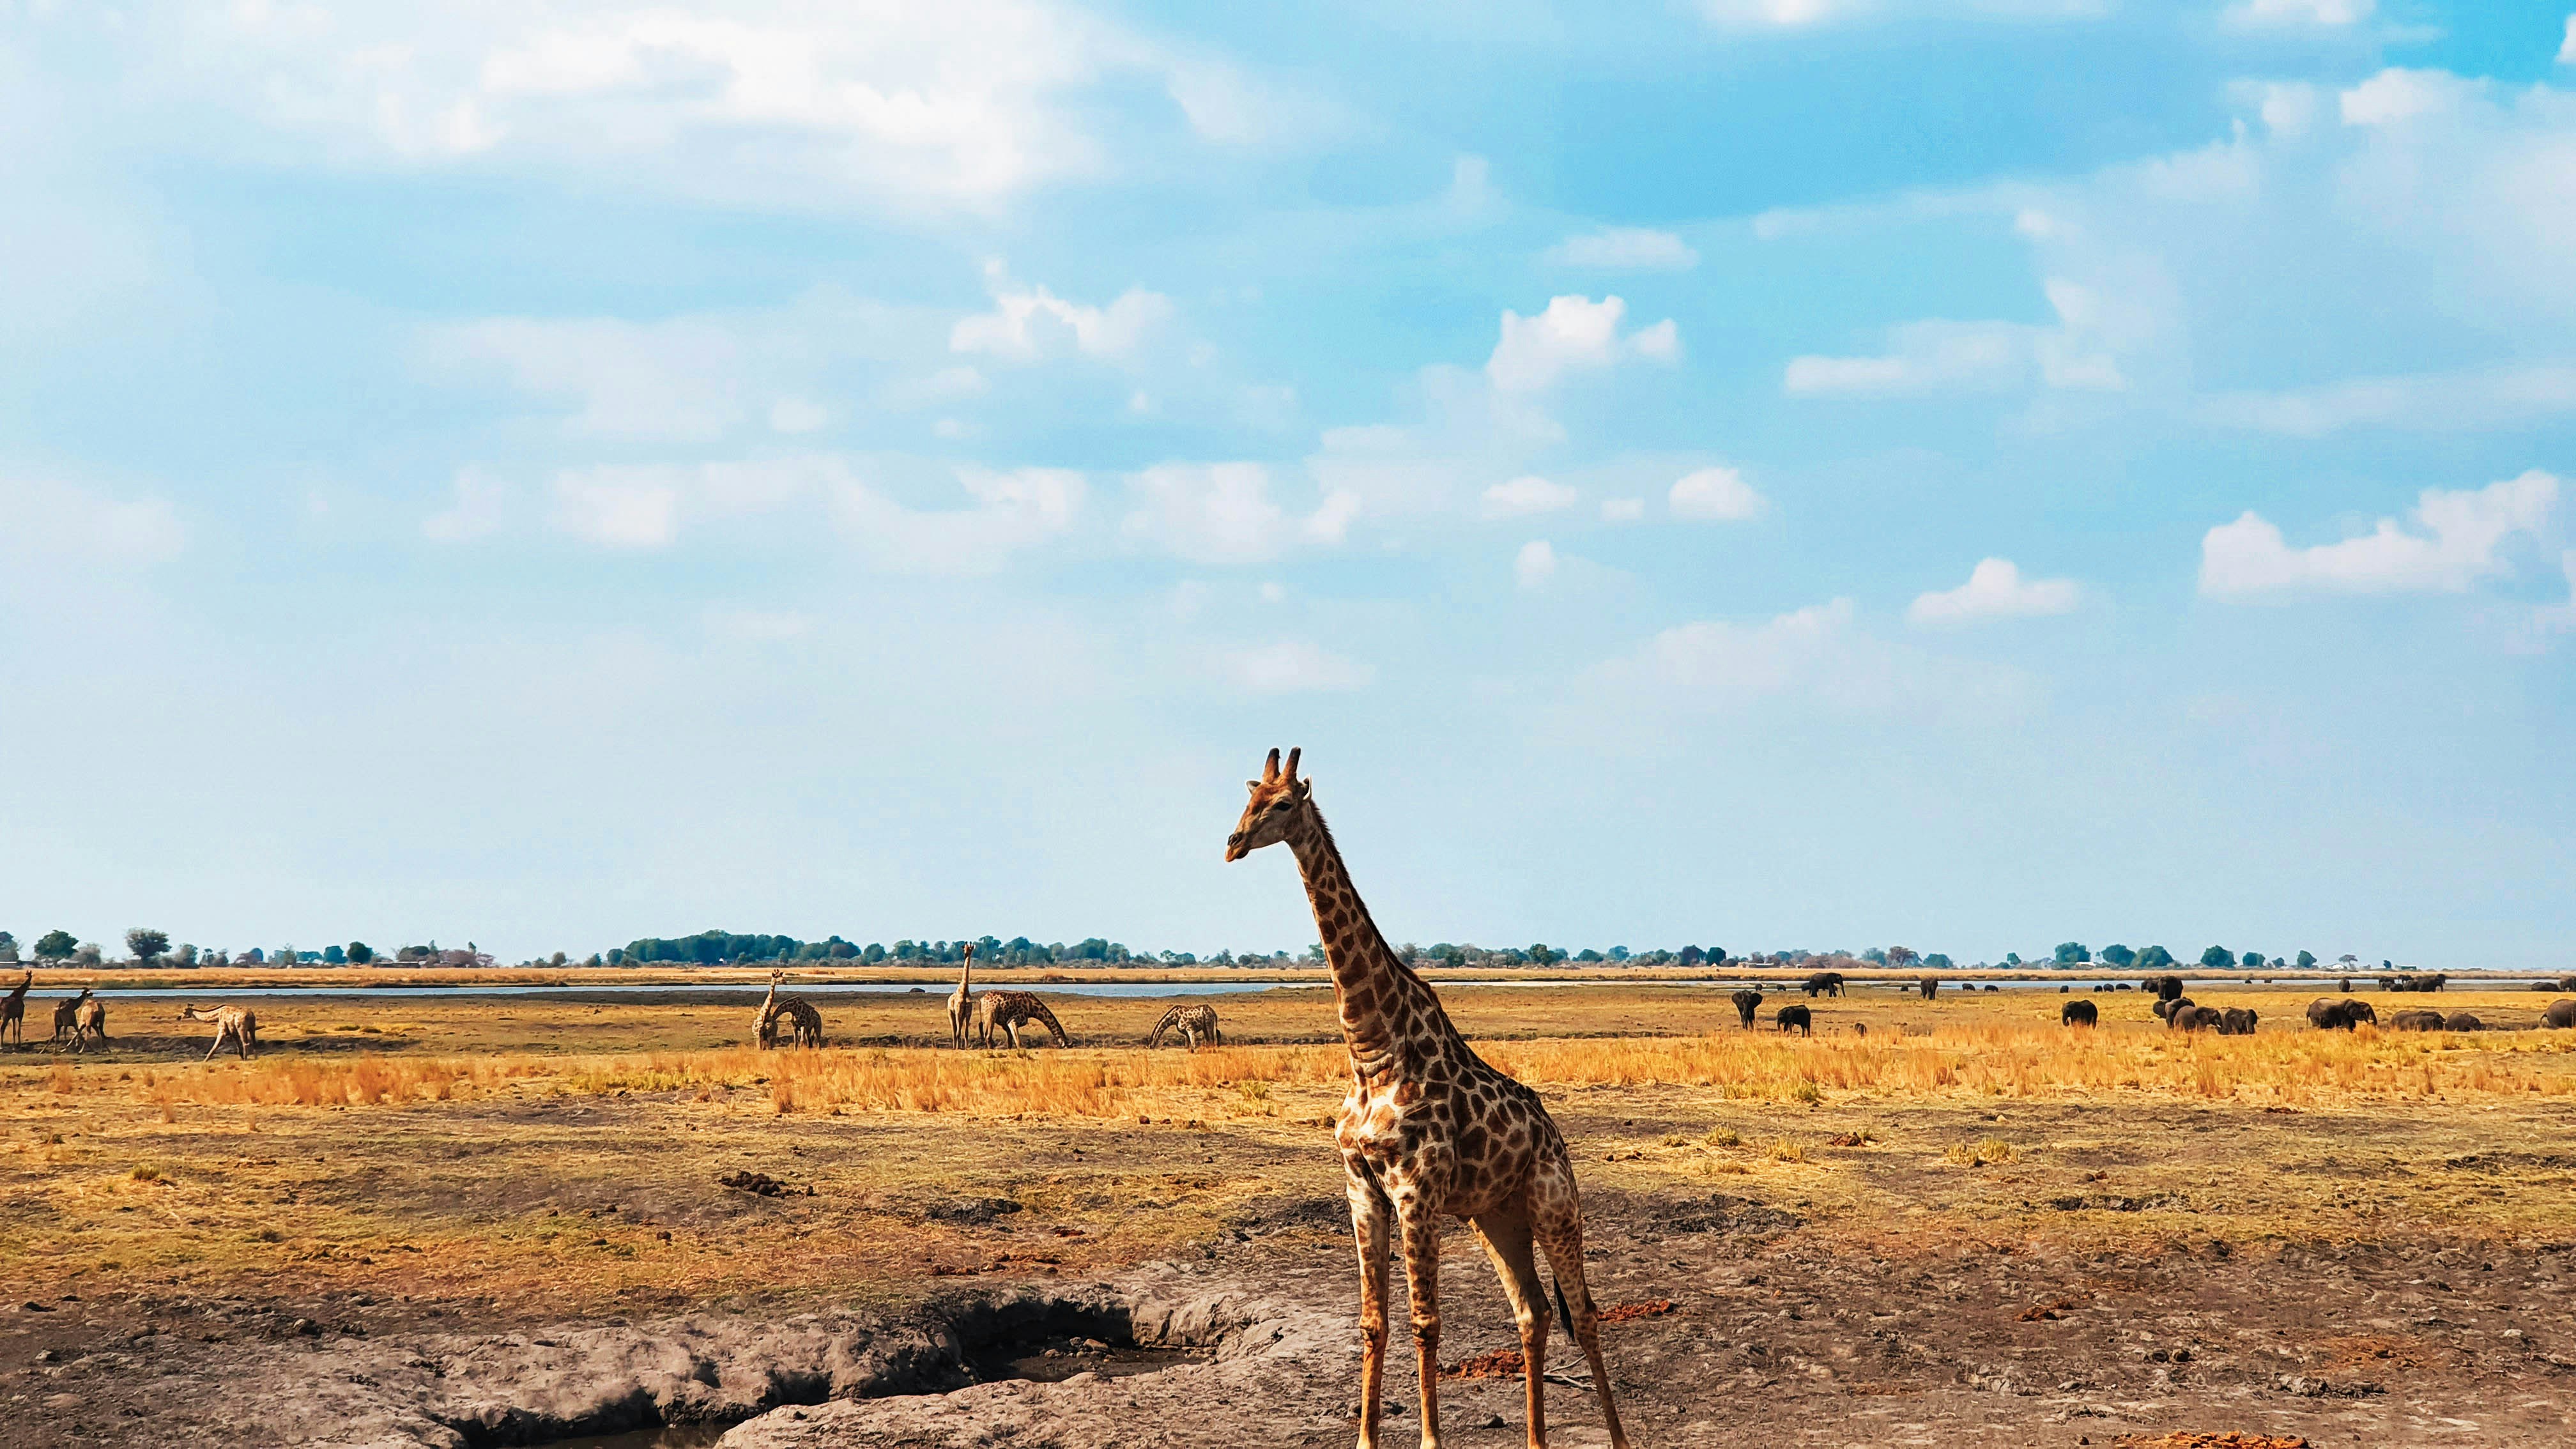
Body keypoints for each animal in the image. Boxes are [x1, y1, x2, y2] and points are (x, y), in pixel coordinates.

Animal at [948, 944, 978, 1048]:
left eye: (970, 949)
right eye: (964, 948)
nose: (965, 955)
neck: (964, 991)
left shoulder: (968, 1013)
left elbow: (966, 1033)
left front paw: (966, 1048)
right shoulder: (958, 1013)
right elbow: (958, 1033)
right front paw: (958, 1048)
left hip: (961, 1016)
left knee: (958, 1030)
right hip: (951, 1013)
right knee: (954, 1032)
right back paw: (954, 1047)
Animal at [974, 991, 1069, 1049]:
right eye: (1067, 1047)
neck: (1032, 1009)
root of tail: (982, 1000)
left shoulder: (1006, 1023)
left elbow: (1010, 1039)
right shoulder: (1014, 1020)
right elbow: (1017, 1039)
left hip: (985, 1018)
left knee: (985, 1034)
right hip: (991, 1016)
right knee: (988, 1036)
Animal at [1225, 747, 1628, 1449]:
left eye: (1283, 804)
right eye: (1246, 799)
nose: (1233, 843)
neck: (1371, 1052)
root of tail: (1554, 1137)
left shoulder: (1417, 1191)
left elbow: (1425, 1323)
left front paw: (1430, 1439)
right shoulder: (1362, 1188)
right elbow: (1373, 1322)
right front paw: (1364, 1439)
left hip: (1554, 1205)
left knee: (1584, 1313)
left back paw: (1620, 1438)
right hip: (1496, 1216)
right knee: (1533, 1311)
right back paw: (1534, 1441)